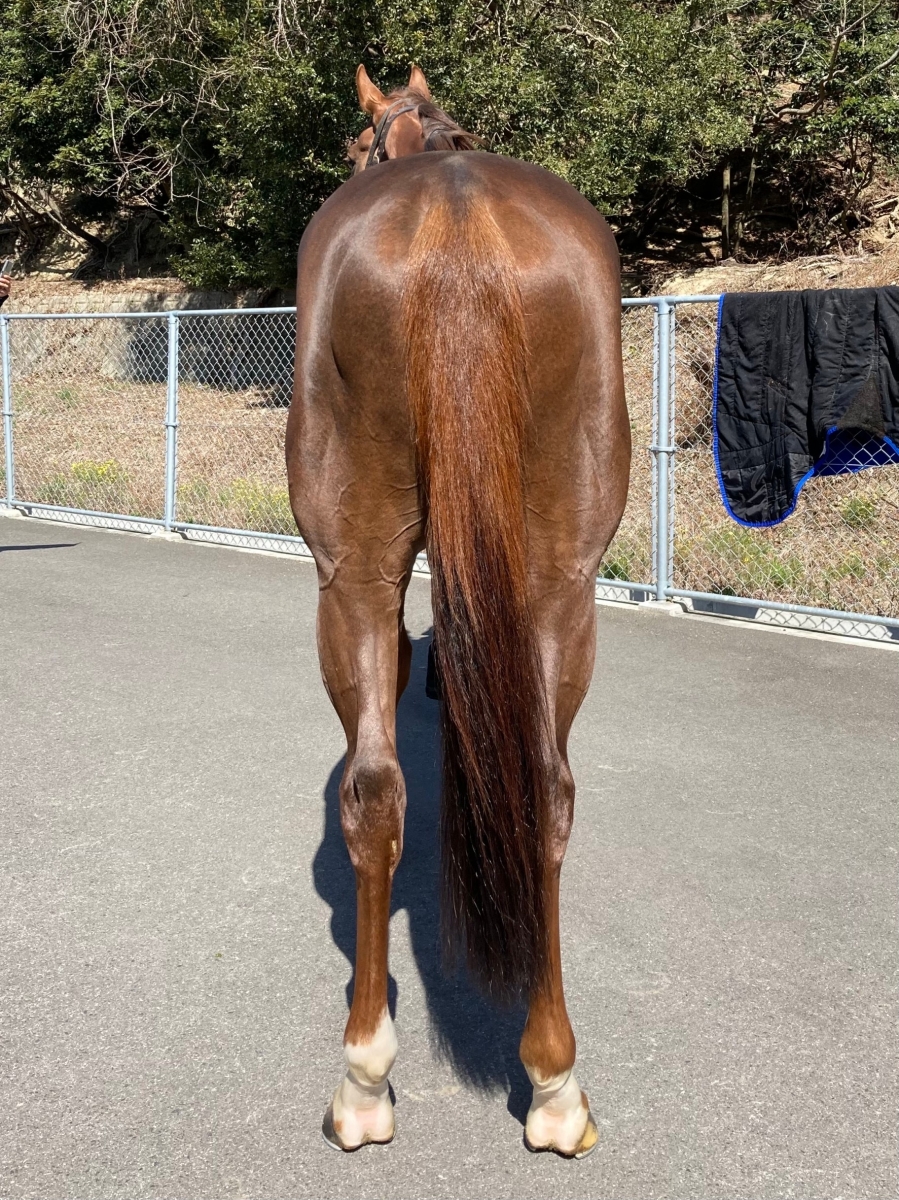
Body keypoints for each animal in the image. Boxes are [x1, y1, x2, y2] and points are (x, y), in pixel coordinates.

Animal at [286, 64, 630, 1158]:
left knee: (374, 789)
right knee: (548, 791)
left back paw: (363, 1073)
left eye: (353, 141)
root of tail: (456, 219)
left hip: (349, 566)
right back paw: (554, 1079)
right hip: (564, 575)